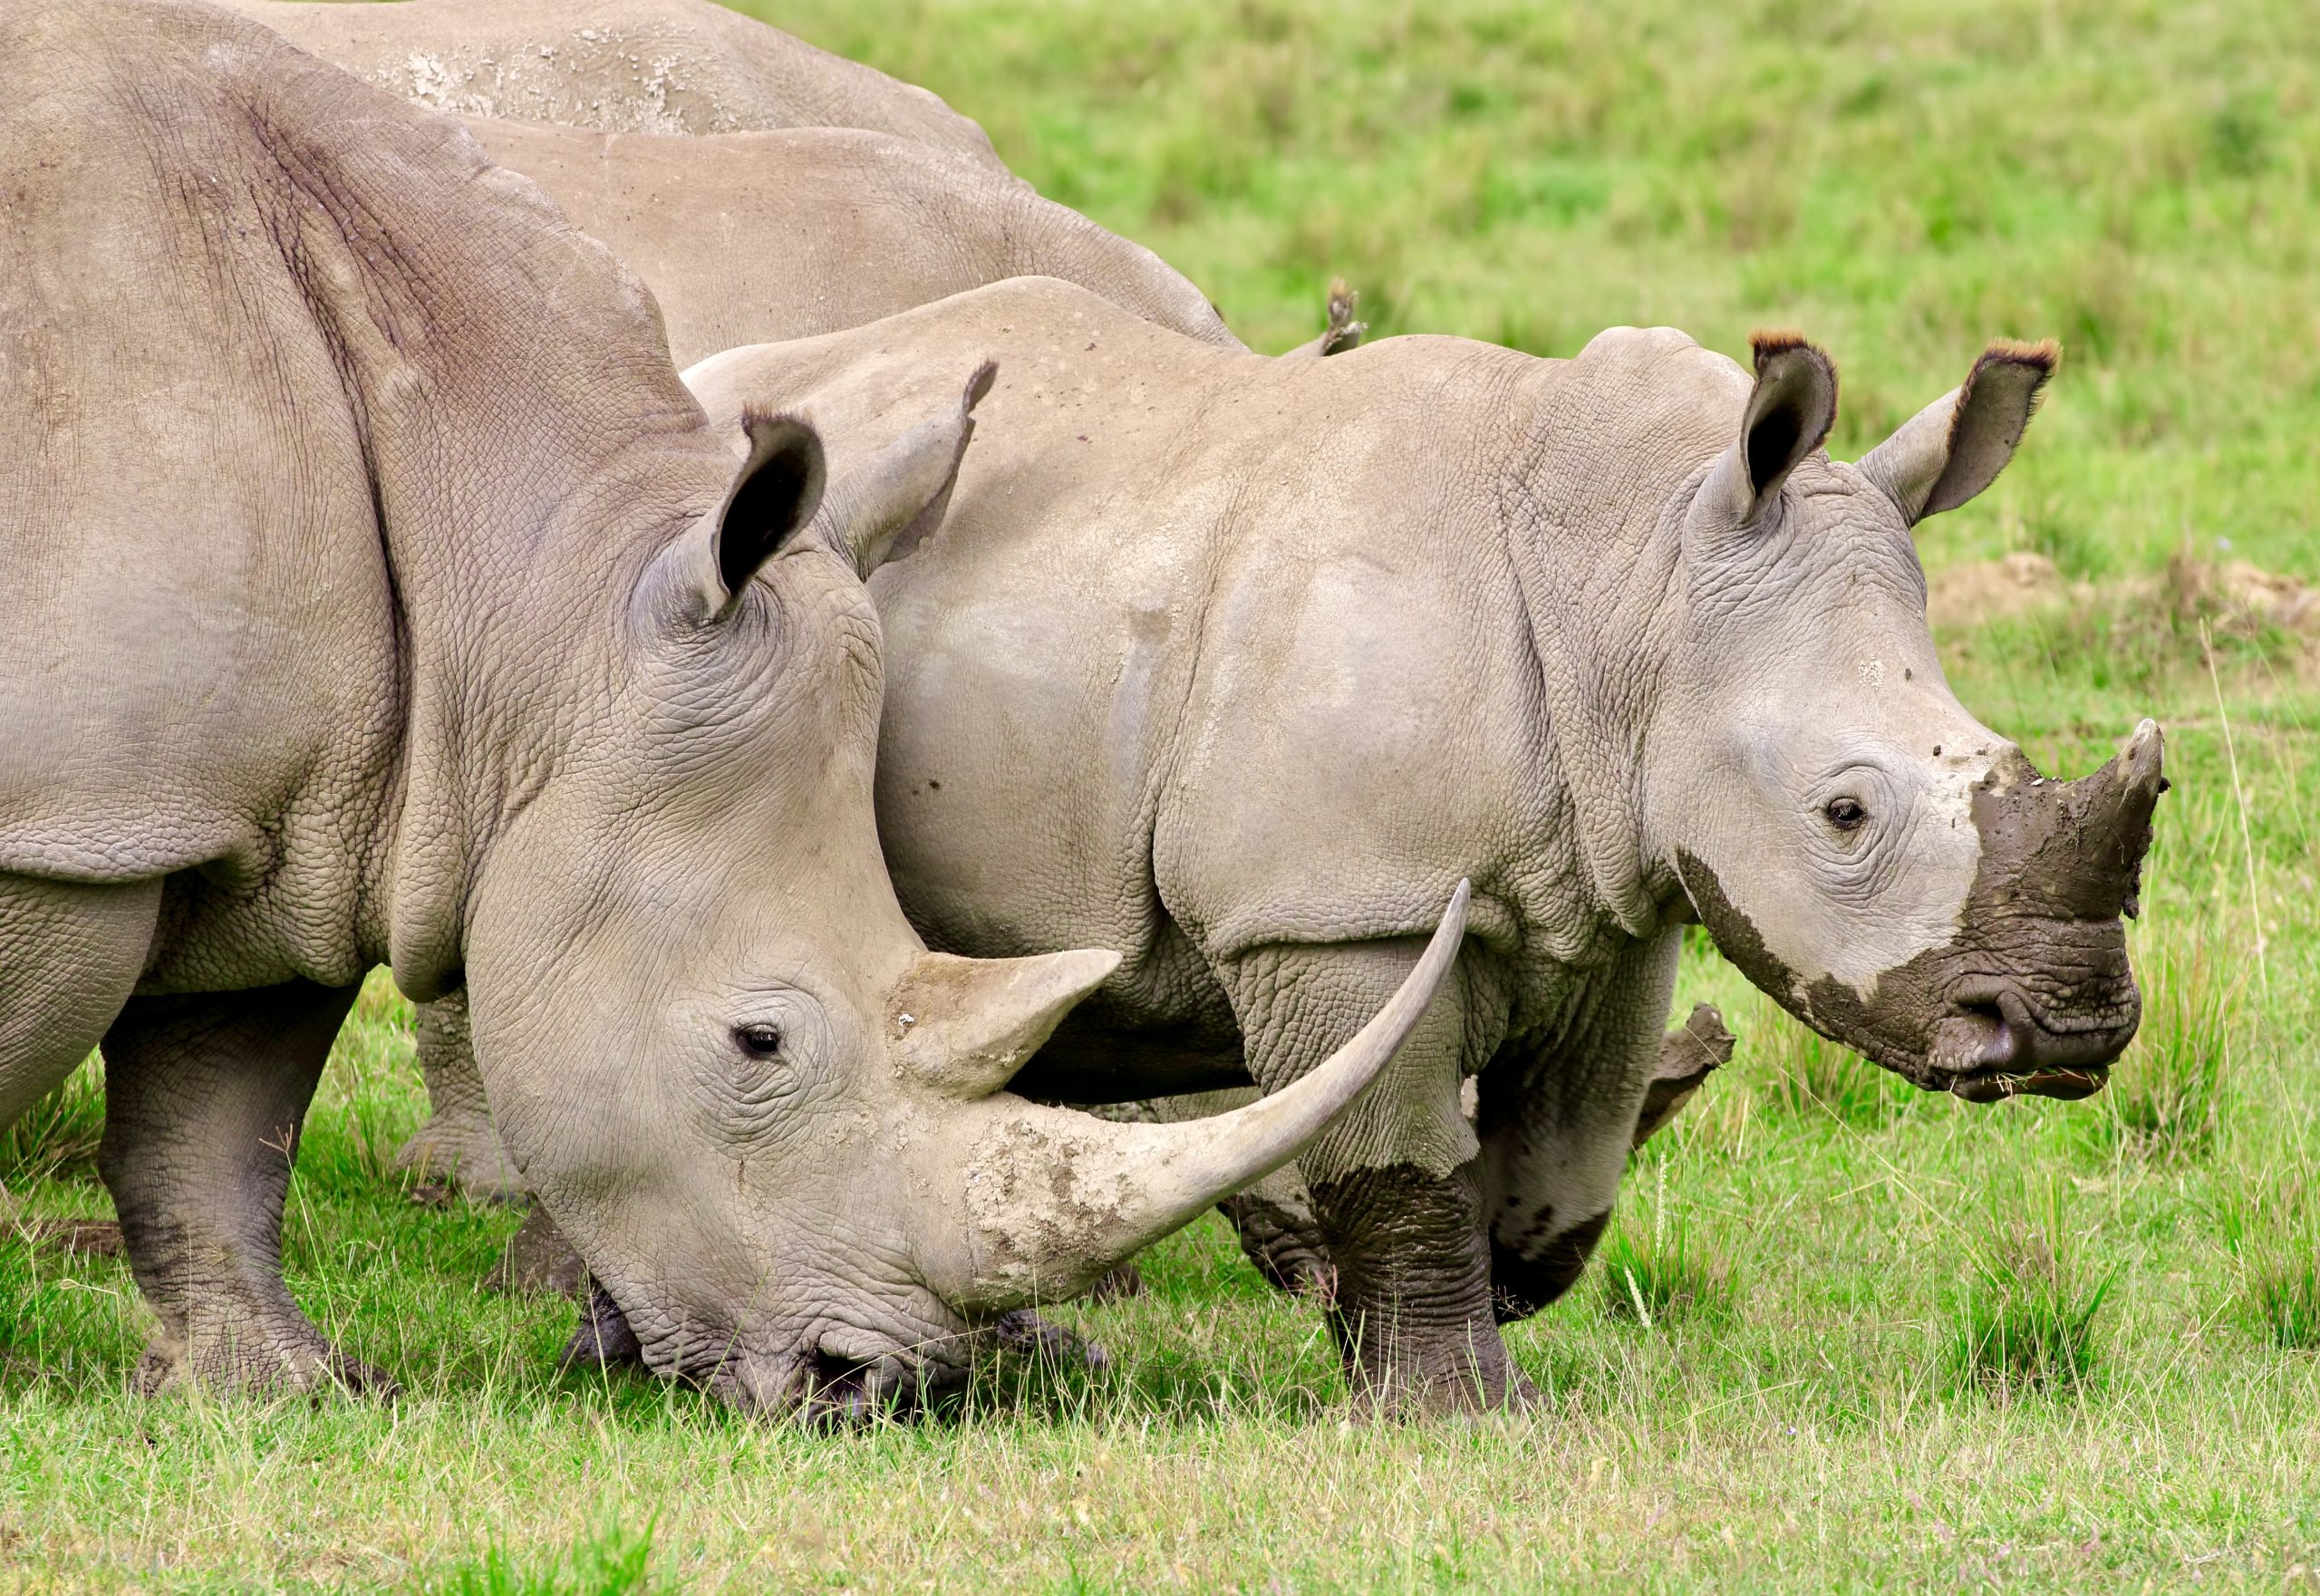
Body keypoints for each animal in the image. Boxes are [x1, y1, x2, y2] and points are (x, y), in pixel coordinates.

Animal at [0, 4, 1453, 1417]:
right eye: (760, 1043)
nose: (871, 1387)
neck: (538, 571)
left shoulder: (291, 797)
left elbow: (214, 1120)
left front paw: (282, 1392)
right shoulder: (85, 814)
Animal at [658, 278, 2166, 1412]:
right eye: (1846, 813)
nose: (2071, 1026)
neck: (1637, 583)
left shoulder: (1619, 896)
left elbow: (1569, 1165)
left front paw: (1454, 1298)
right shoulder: (1333, 912)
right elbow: (1399, 1161)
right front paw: (1457, 1407)